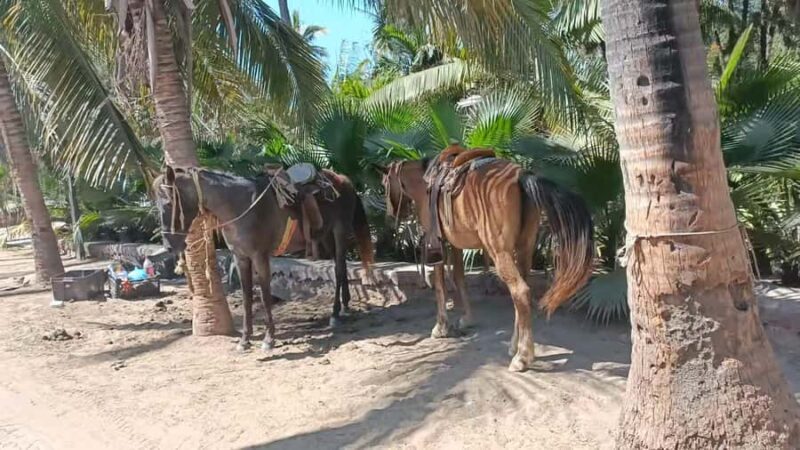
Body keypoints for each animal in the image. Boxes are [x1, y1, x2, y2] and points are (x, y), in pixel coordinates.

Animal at [154, 166, 374, 351]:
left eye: (169, 203)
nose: (169, 245)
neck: (240, 205)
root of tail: (343, 179)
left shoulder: (260, 257)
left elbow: (265, 296)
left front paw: (269, 339)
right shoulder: (241, 258)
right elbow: (246, 298)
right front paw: (245, 340)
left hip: (339, 231)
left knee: (339, 269)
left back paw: (336, 313)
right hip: (326, 236)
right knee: (341, 267)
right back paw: (345, 306)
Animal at [381, 150, 593, 371]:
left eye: (384, 184)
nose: (391, 214)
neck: (424, 182)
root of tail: (520, 176)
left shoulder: (435, 243)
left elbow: (440, 286)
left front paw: (440, 327)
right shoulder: (456, 244)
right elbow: (459, 278)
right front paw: (467, 319)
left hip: (499, 251)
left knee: (520, 291)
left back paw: (522, 357)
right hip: (524, 248)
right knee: (522, 294)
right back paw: (514, 346)